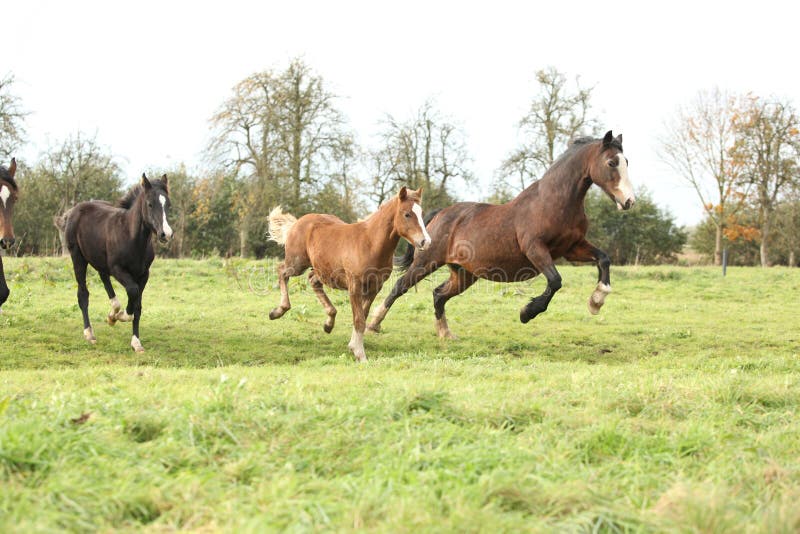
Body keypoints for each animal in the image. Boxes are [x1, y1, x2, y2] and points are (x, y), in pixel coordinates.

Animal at [60, 173, 173, 352]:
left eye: (168, 205)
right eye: (150, 204)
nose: (166, 234)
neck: (131, 237)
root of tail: (75, 209)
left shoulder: (144, 274)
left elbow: (138, 306)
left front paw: (136, 342)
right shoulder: (117, 269)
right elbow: (133, 292)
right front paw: (122, 316)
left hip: (99, 259)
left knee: (103, 278)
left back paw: (113, 312)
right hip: (78, 258)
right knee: (83, 294)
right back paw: (90, 333)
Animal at [267, 186, 431, 362]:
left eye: (421, 213)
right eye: (407, 214)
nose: (425, 242)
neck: (370, 243)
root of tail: (297, 222)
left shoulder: (375, 287)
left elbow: (363, 316)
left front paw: (353, 346)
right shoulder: (355, 285)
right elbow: (358, 319)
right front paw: (360, 354)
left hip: (325, 270)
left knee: (313, 280)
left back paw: (328, 323)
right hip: (297, 263)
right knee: (282, 271)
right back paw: (278, 311)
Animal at [367, 131, 636, 339]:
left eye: (626, 161)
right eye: (612, 163)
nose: (629, 201)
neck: (554, 203)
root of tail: (441, 214)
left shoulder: (572, 248)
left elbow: (604, 259)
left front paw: (596, 301)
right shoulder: (536, 249)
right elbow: (555, 281)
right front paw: (527, 313)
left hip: (464, 274)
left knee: (438, 295)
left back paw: (446, 333)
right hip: (428, 261)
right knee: (400, 286)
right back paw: (374, 324)